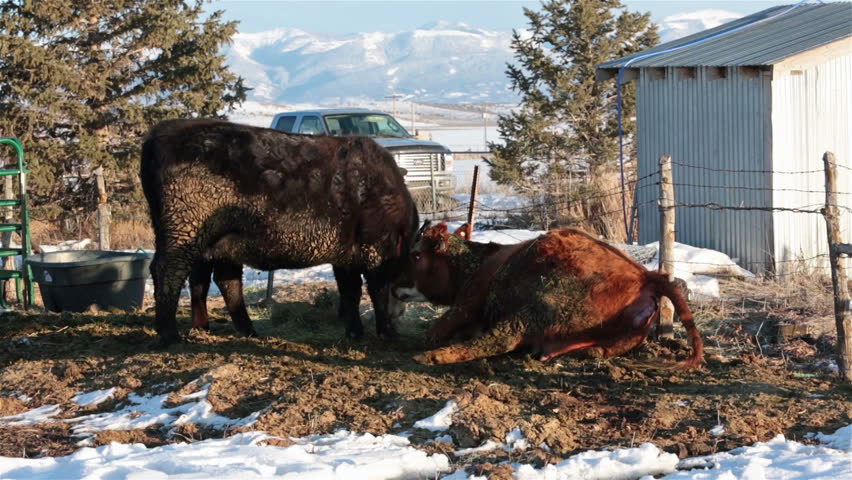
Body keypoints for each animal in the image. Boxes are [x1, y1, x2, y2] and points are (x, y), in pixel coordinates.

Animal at [140, 118, 419, 346]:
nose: (400, 316)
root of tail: (161, 133)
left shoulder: (346, 258)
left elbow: (350, 292)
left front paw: (355, 332)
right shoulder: (375, 252)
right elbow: (376, 291)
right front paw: (387, 332)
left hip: (211, 243)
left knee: (213, 280)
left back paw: (225, 329)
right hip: (184, 231)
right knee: (169, 271)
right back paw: (170, 334)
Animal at [393, 222, 704, 368]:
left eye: (416, 255)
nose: (394, 287)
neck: (477, 262)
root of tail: (645, 275)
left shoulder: (467, 302)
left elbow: (437, 328)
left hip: (538, 307)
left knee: (499, 340)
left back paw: (431, 357)